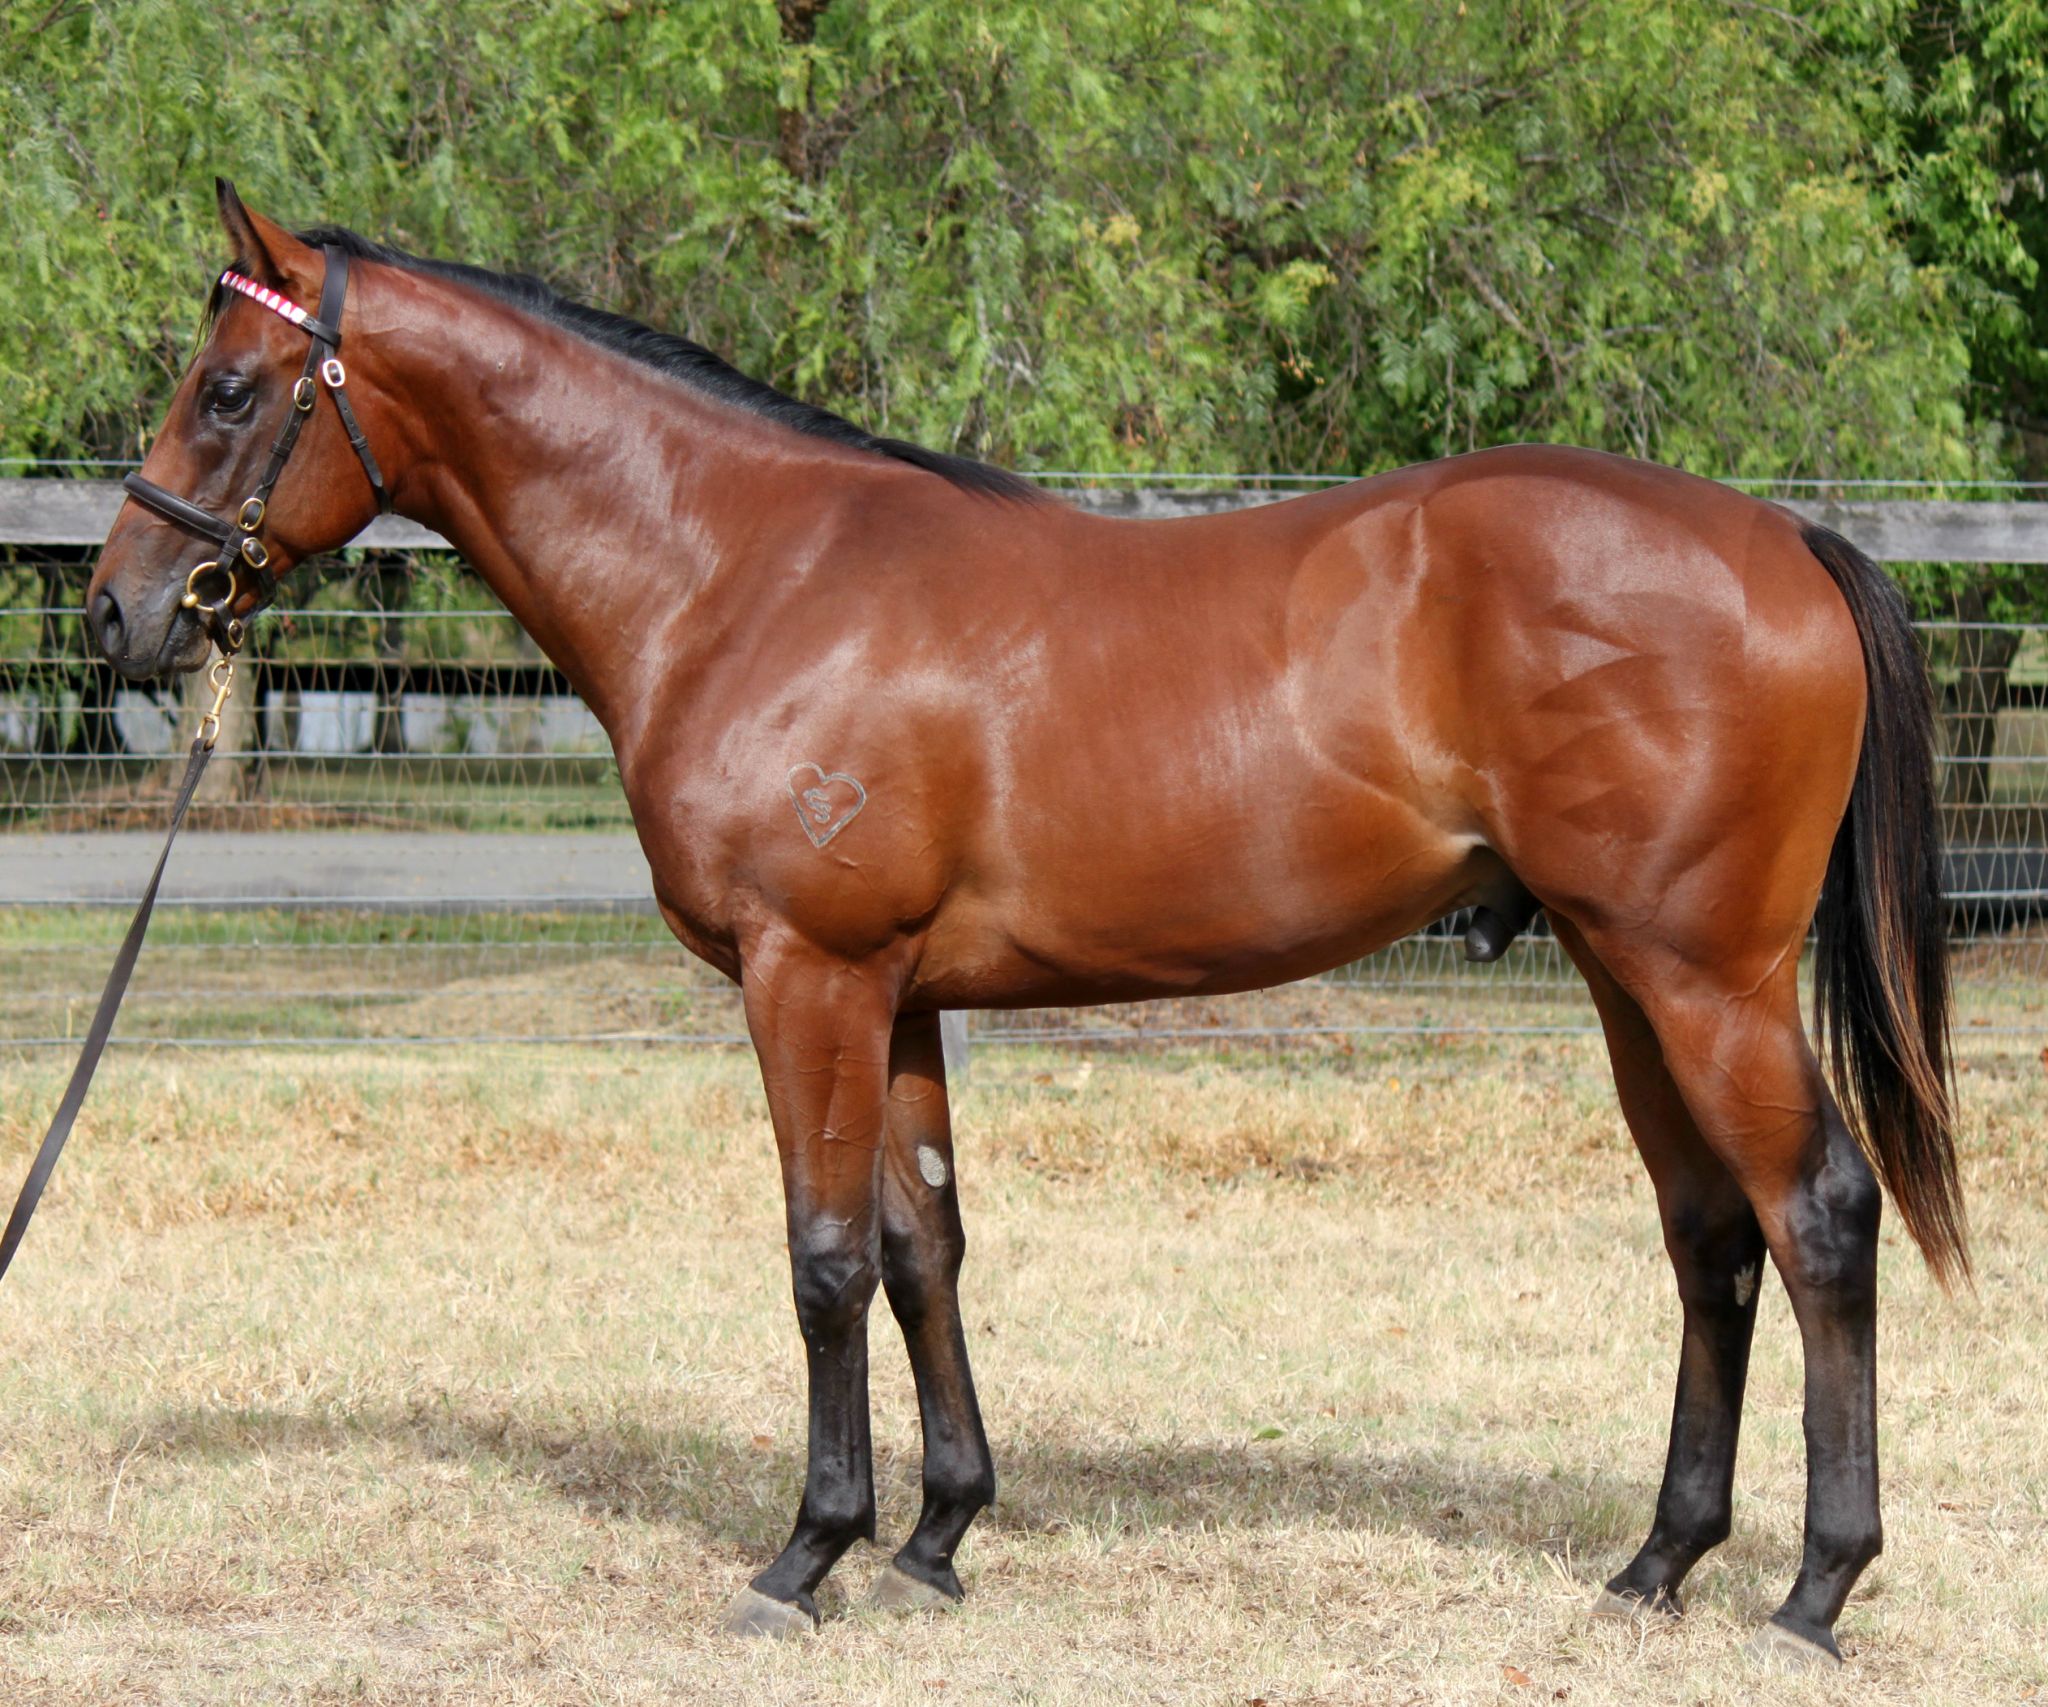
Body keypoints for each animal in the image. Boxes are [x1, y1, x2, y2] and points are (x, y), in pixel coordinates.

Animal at [84, 181, 1961, 1669]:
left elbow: (826, 1257)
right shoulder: (902, 995)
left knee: (1817, 1213)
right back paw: (1655, 1564)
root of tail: (1781, 538)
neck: (741, 573)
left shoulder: (809, 976)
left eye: (227, 388)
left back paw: (1812, 1591)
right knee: (1710, 1237)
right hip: (1622, 974)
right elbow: (925, 1242)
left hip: (1700, 976)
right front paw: (934, 1538)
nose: (115, 612)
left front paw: (806, 1552)